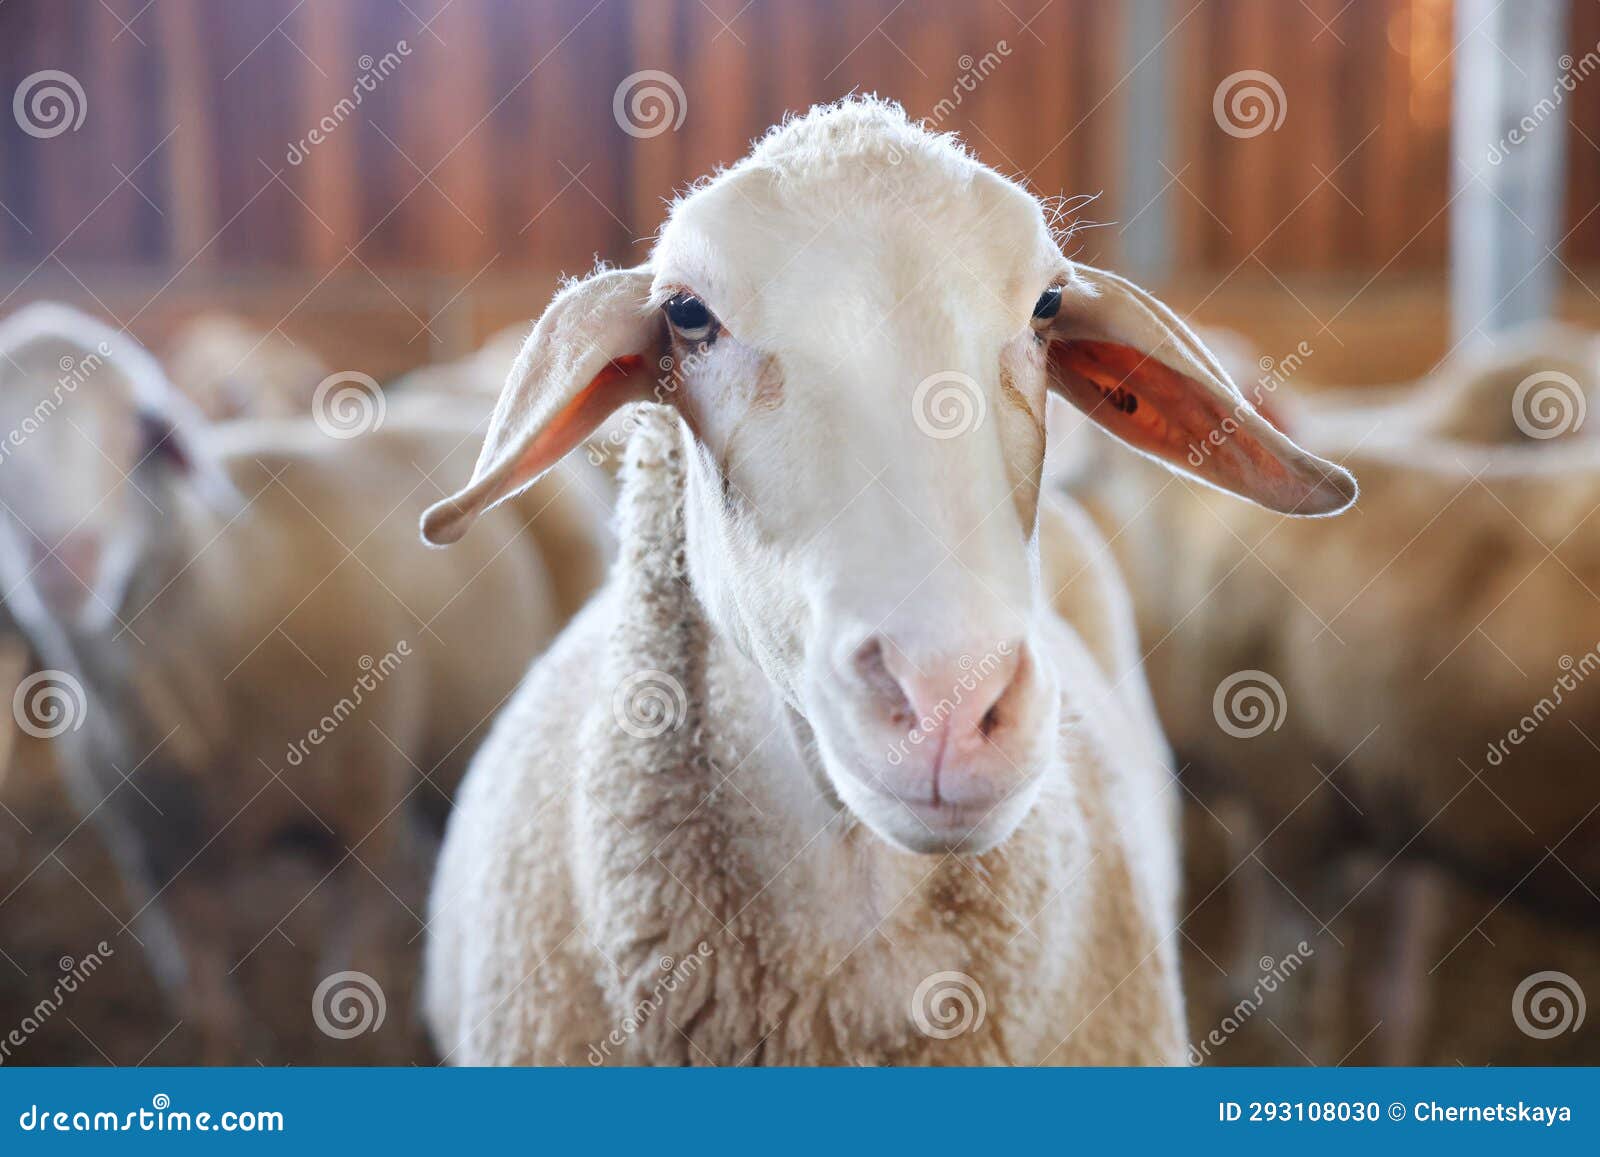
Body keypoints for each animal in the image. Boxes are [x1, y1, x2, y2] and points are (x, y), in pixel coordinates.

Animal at [0, 303, 612, 1061]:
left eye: (136, 428)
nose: (62, 561)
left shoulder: (364, 811)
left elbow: (349, 978)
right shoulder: (155, 863)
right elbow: (207, 1008)